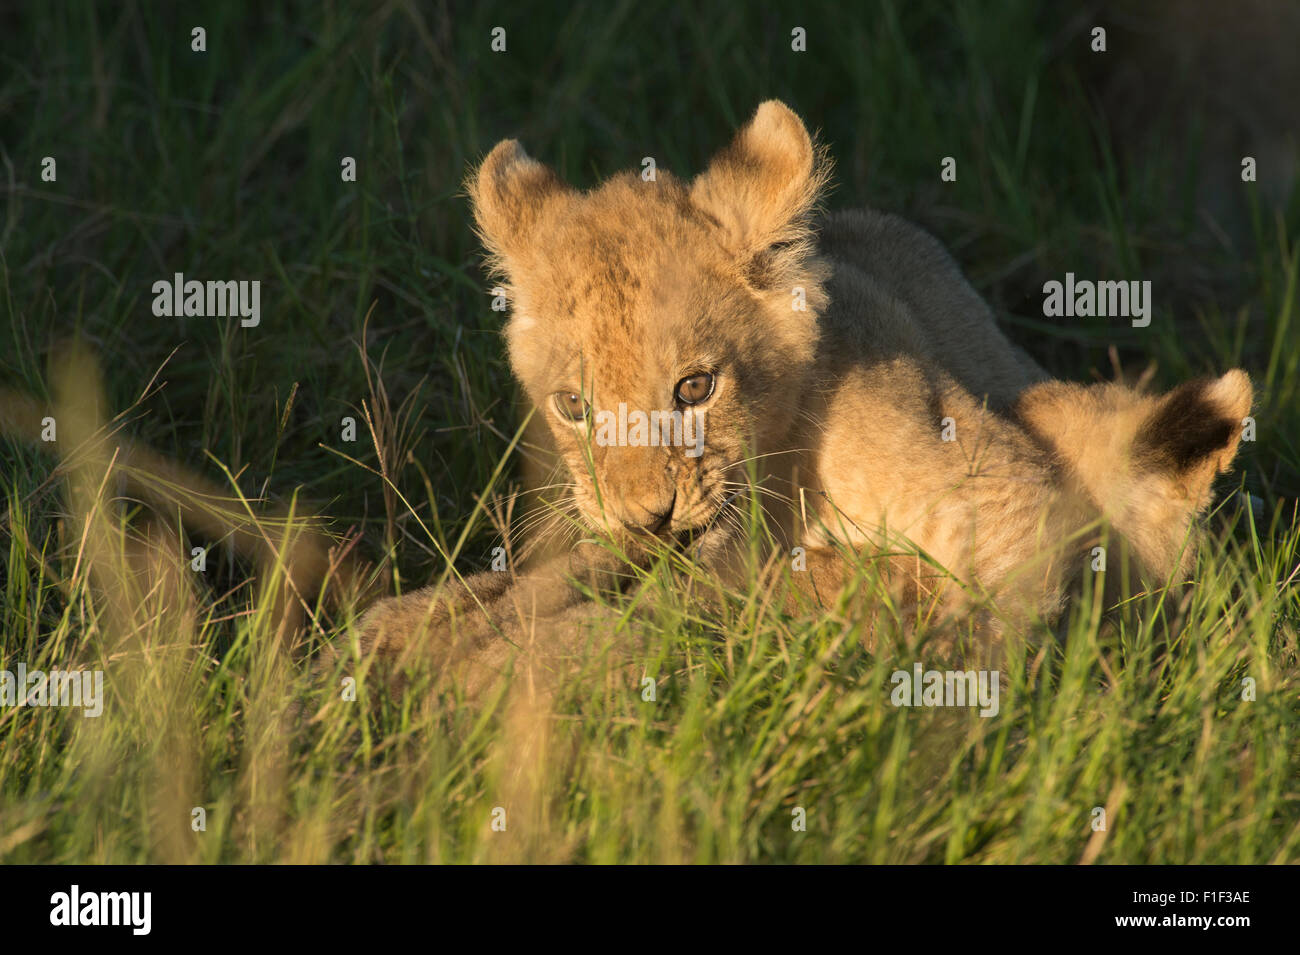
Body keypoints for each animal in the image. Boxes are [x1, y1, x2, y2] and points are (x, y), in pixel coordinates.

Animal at [347, 101, 1252, 692]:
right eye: (574, 406)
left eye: (697, 387)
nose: (649, 515)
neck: (779, 487)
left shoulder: (1007, 486)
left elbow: (994, 619)